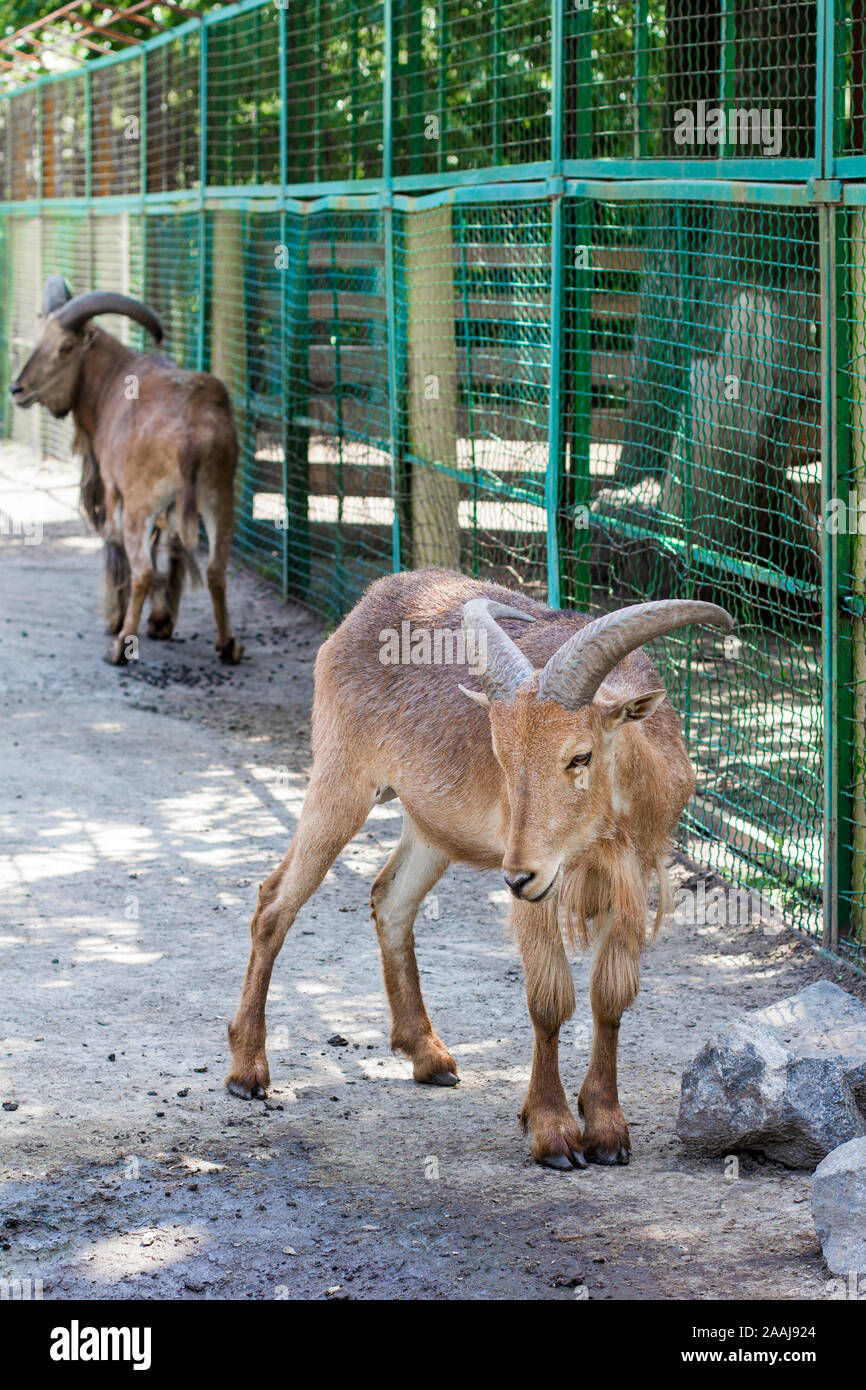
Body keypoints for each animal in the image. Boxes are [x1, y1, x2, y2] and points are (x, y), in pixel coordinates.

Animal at [9, 276, 242, 665]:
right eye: (38, 335)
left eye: (66, 347)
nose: (17, 389)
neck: (111, 381)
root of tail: (190, 436)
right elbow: (170, 550)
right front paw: (161, 622)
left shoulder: (113, 492)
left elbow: (115, 547)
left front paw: (115, 620)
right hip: (219, 499)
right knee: (215, 570)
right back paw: (228, 645)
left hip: (139, 507)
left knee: (143, 570)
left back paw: (119, 647)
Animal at [226, 567, 732, 1169]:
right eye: (501, 757)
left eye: (580, 755)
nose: (516, 877)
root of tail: (368, 602)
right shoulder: (543, 889)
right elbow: (549, 1000)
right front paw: (553, 1132)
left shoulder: (628, 879)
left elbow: (610, 997)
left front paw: (608, 1130)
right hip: (341, 781)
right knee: (274, 902)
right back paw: (248, 1071)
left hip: (430, 828)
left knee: (390, 899)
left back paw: (428, 1055)